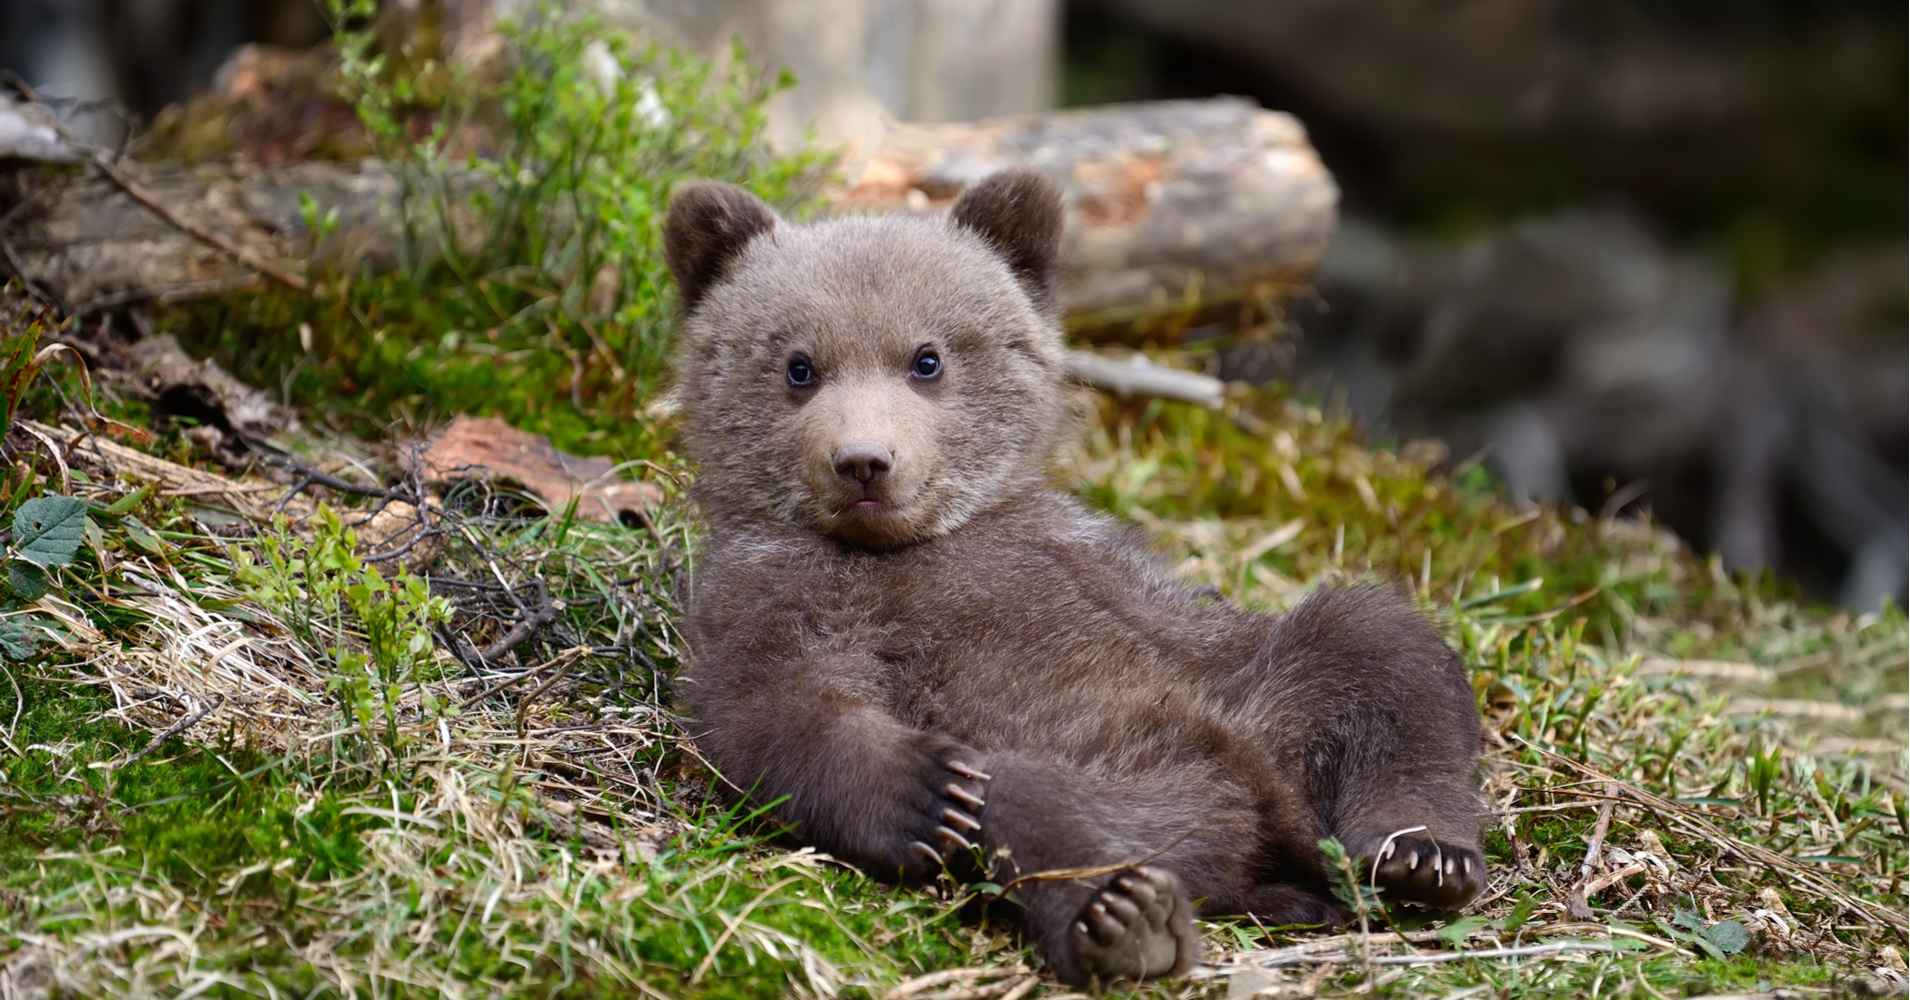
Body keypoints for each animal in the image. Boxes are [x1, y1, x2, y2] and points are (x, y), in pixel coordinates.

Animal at [662, 168, 1485, 987]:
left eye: (927, 358)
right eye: (799, 367)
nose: (864, 460)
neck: (902, 547)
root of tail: (1275, 827)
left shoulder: (1084, 557)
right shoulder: (775, 593)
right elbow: (776, 710)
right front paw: (924, 791)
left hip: (1263, 702)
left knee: (1376, 650)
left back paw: (1423, 854)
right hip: (1109, 776)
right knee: (1031, 802)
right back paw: (1125, 916)